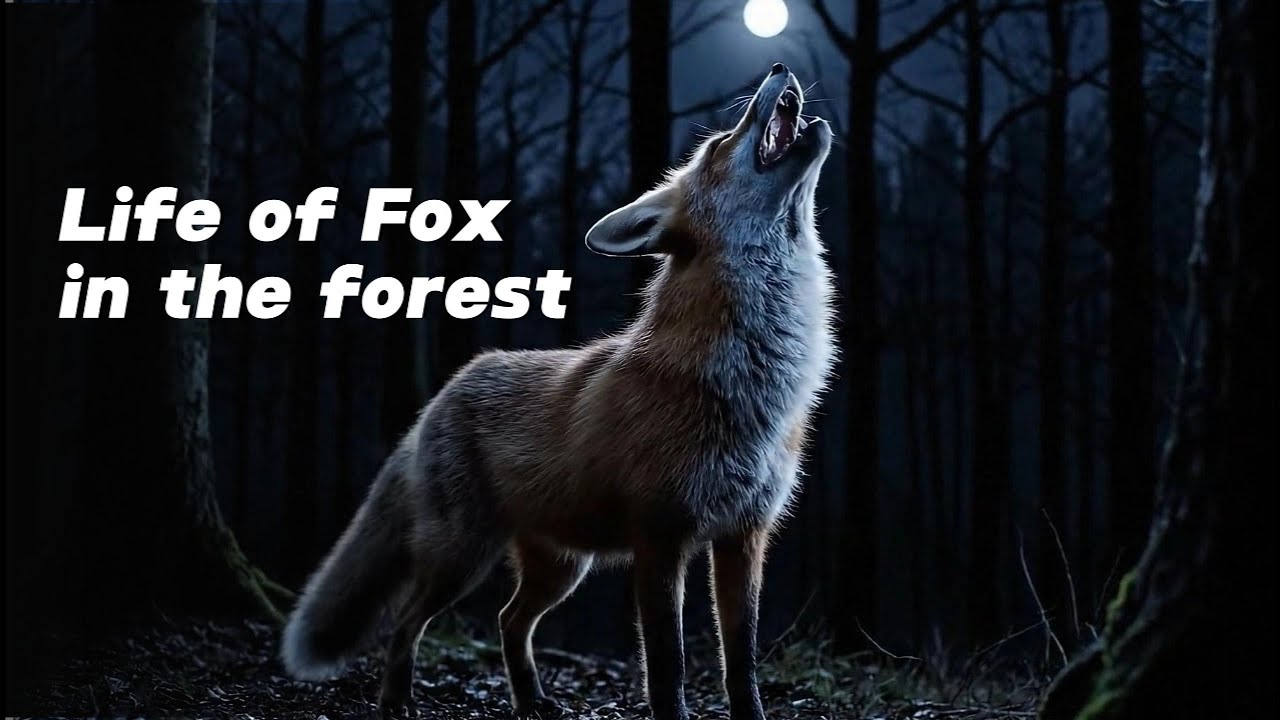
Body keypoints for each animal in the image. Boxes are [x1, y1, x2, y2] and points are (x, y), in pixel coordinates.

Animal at [281, 63, 835, 720]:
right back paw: (397, 702)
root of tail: (446, 391)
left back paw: (530, 699)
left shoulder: (744, 537)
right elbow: (667, 667)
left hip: (563, 567)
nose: (776, 68)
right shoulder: (661, 537)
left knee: (508, 620)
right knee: (407, 622)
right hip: (463, 557)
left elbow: (742, 664)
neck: (755, 384)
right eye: (721, 143)